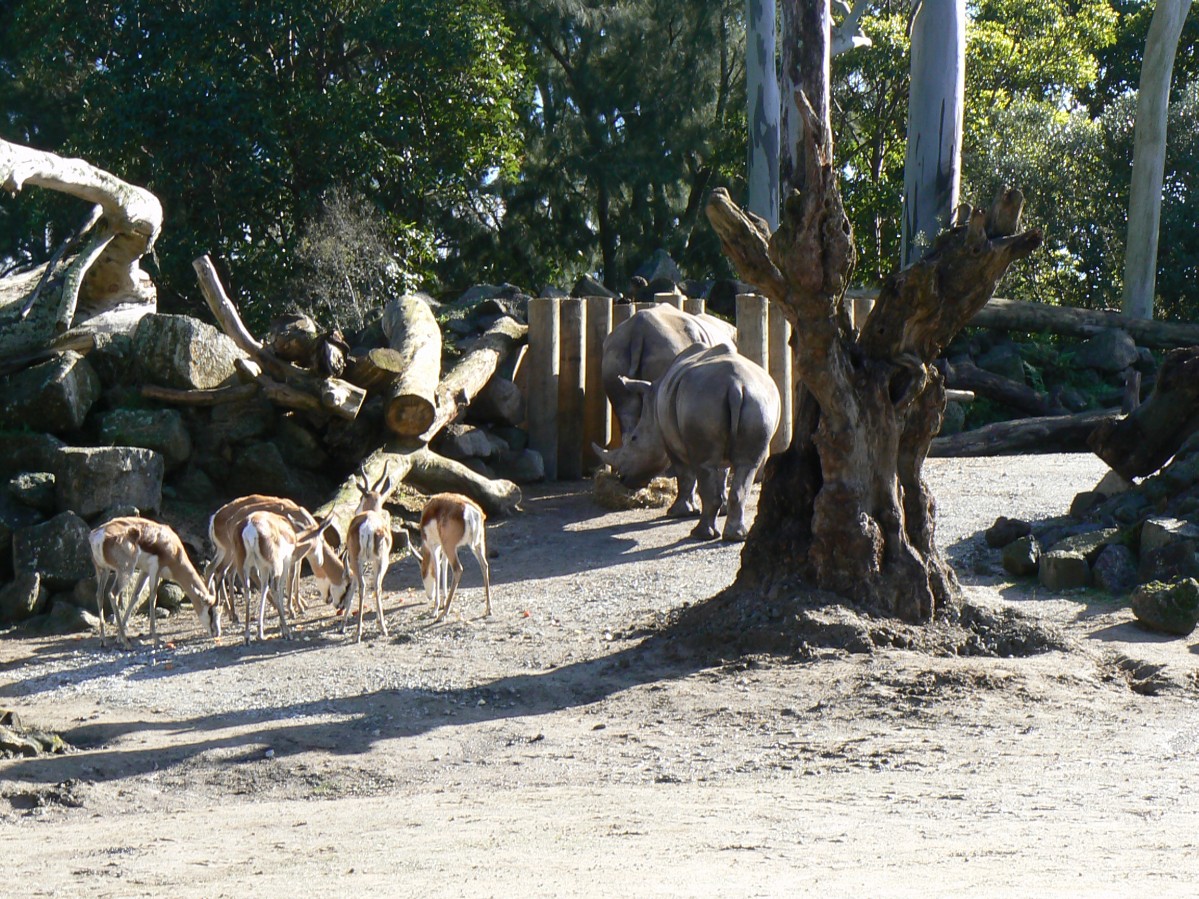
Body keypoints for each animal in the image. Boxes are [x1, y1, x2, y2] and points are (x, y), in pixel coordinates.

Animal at [594, 343, 780, 541]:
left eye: (634, 439)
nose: (623, 479)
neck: (652, 404)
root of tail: (736, 386)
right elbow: (721, 474)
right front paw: (721, 511)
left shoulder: (670, 443)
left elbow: (685, 476)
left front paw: (678, 513)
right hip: (756, 402)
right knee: (747, 465)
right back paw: (736, 536)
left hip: (701, 402)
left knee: (704, 465)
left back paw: (701, 534)